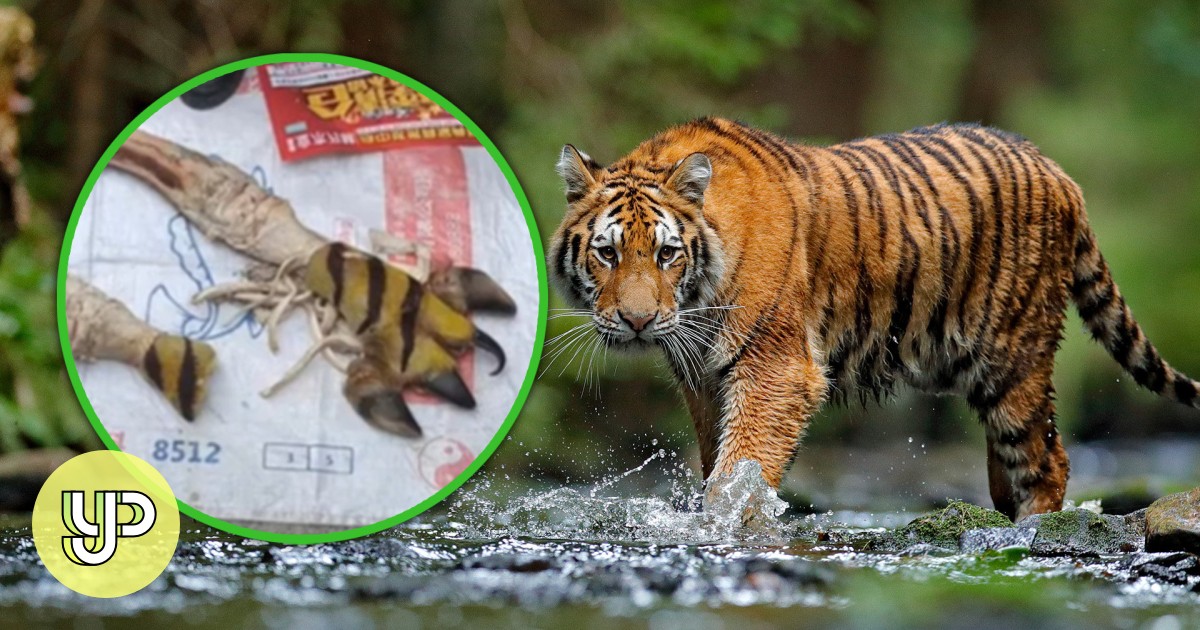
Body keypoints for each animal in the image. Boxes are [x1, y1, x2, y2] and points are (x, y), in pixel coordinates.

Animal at [549, 116, 1200, 521]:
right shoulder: (705, 379)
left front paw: (725, 523)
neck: (699, 300)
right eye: (607, 253)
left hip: (1015, 359)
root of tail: (1058, 171)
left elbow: (741, 468)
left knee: (1047, 462)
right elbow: (718, 462)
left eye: (666, 253)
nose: (636, 321)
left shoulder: (776, 368)